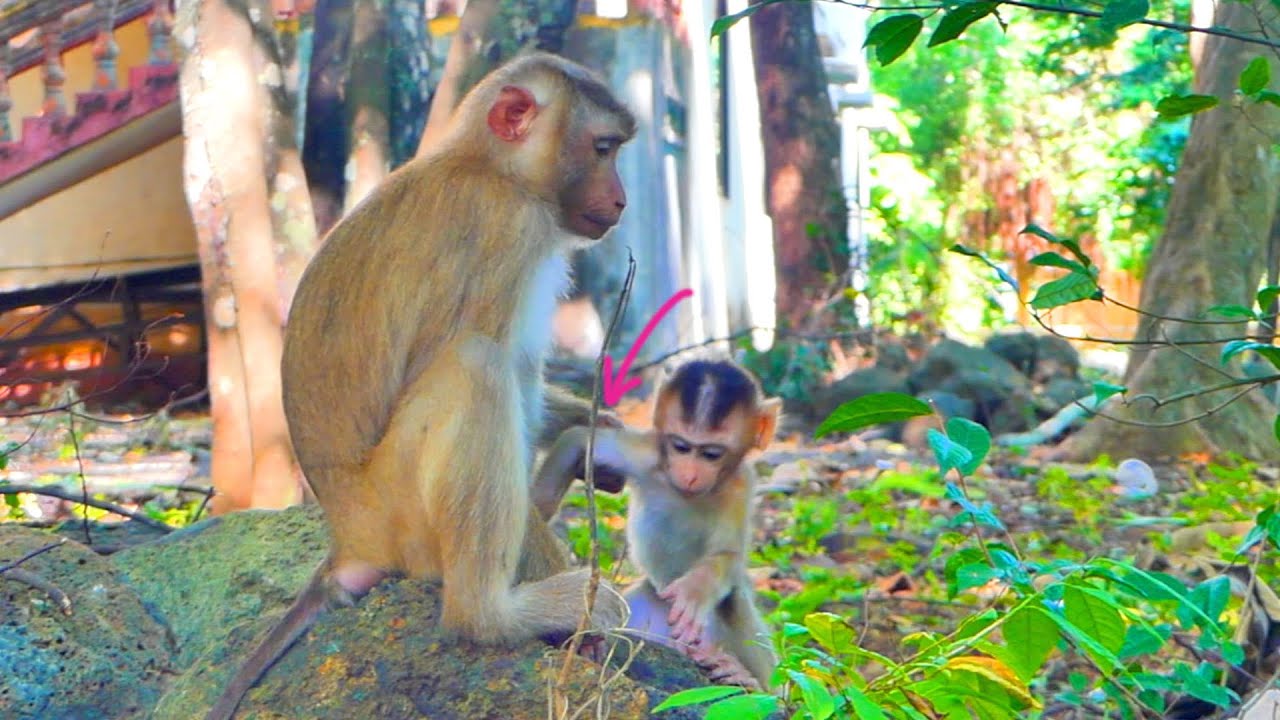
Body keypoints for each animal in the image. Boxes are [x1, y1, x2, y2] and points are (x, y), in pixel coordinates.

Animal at [206, 52, 636, 720]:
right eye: (604, 147)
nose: (620, 198)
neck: (488, 167)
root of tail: (347, 539)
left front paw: (598, 430)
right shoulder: (506, 230)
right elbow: (504, 375)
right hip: (397, 511)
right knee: (477, 366)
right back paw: (489, 615)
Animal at [533, 359, 781, 690]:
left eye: (711, 454)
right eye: (681, 447)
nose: (690, 475)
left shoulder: (740, 485)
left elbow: (727, 555)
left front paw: (695, 589)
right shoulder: (645, 452)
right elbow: (579, 439)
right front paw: (536, 506)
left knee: (733, 598)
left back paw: (745, 678)